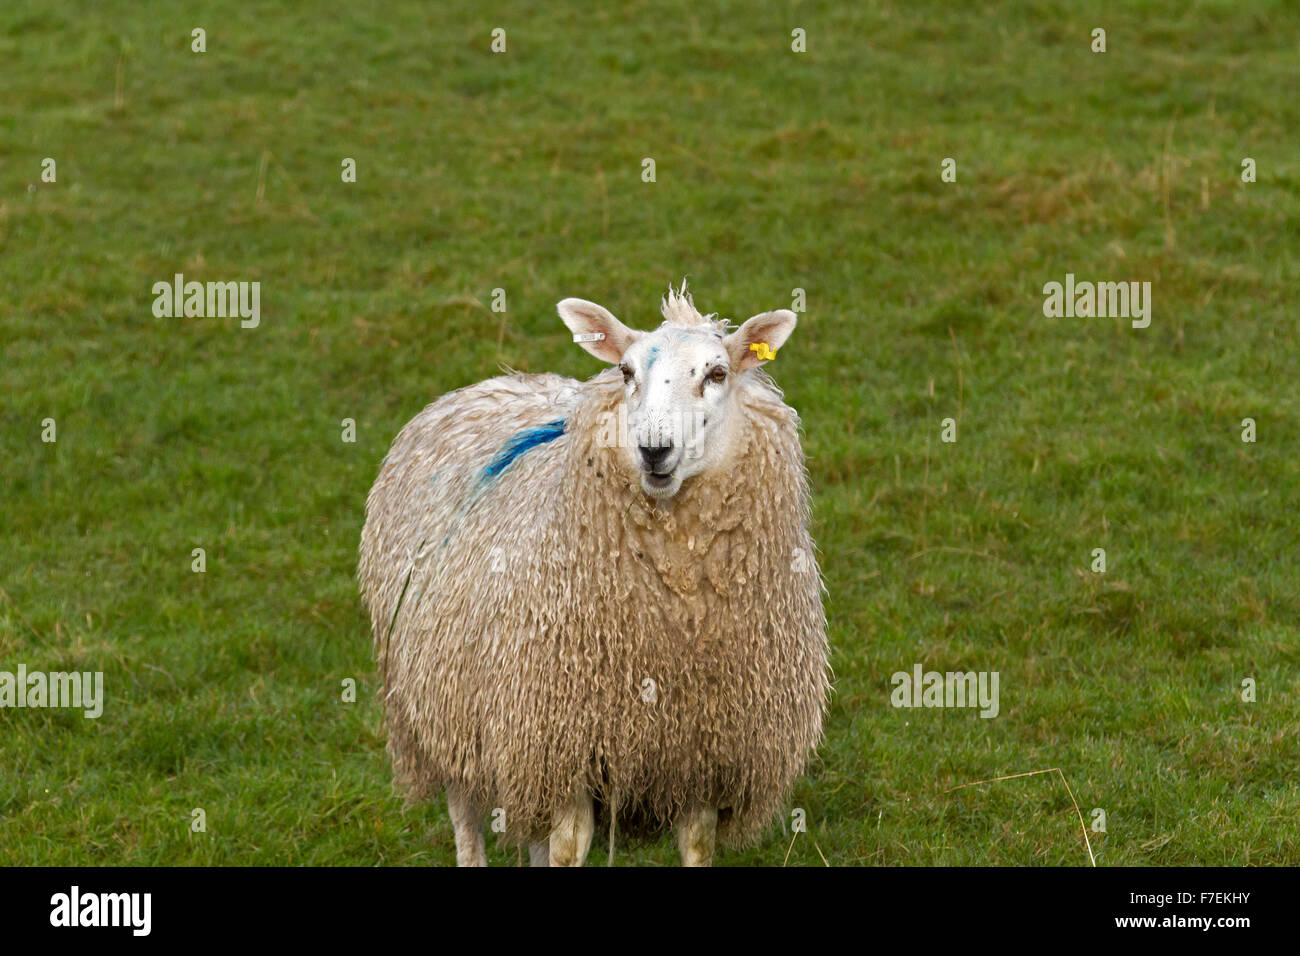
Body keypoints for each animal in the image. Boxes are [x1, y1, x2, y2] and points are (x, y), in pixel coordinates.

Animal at [358, 283, 829, 866]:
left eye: (718, 373)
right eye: (626, 371)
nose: (653, 450)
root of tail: (495, 382)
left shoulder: (704, 755)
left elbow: (696, 847)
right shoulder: (562, 748)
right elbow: (566, 849)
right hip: (446, 707)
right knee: (465, 813)